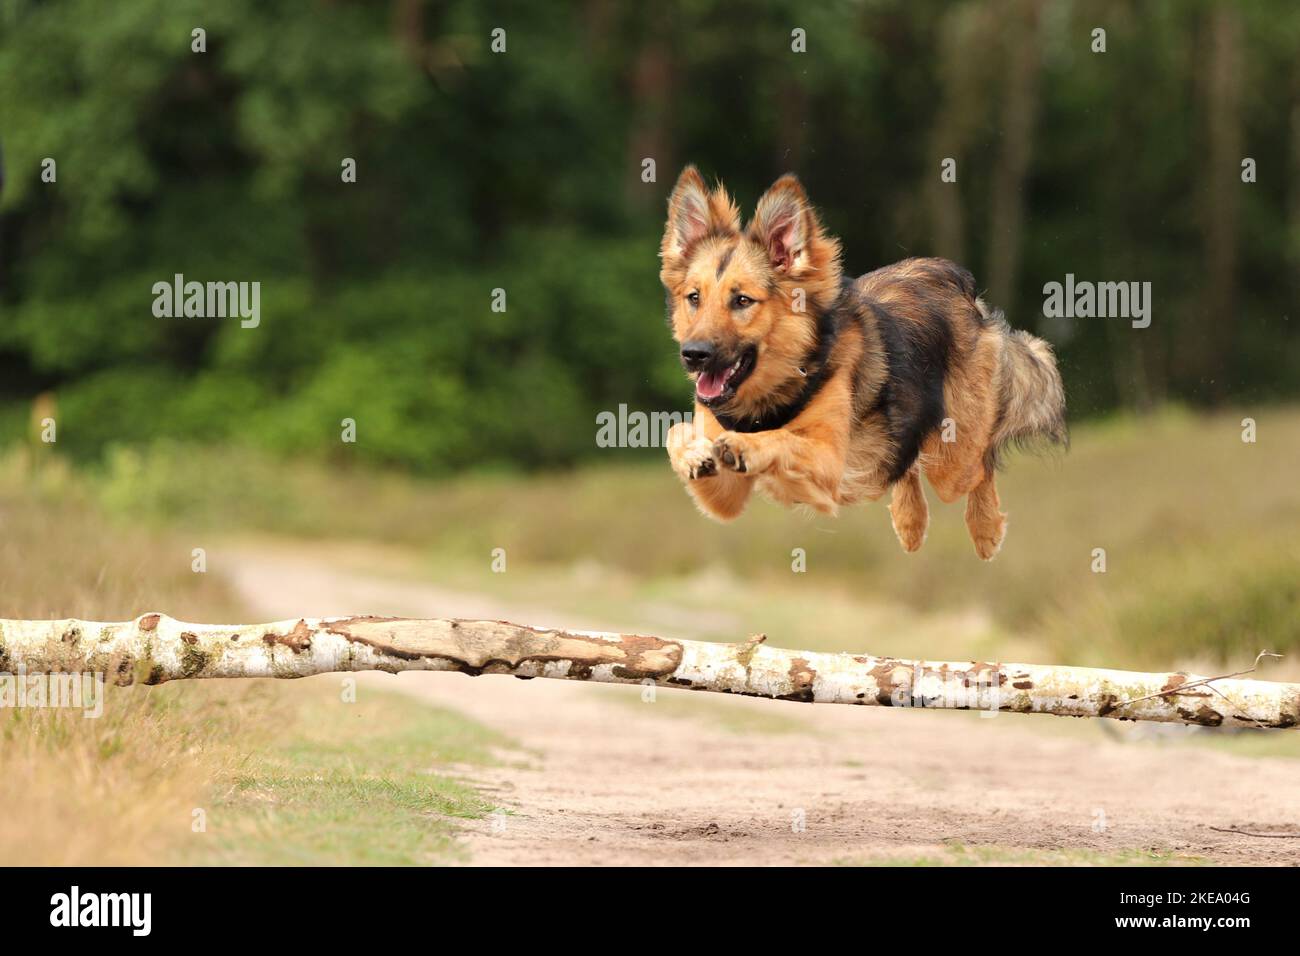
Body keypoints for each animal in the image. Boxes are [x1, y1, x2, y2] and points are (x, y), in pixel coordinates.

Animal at [660, 166, 1066, 559]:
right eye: (694, 298)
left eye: (742, 301)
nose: (693, 354)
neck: (776, 393)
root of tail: (953, 278)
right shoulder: (725, 497)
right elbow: (675, 431)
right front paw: (695, 453)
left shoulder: (829, 463)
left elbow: (785, 439)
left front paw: (747, 444)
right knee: (905, 461)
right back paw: (910, 521)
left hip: (954, 455)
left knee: (982, 462)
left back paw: (985, 529)